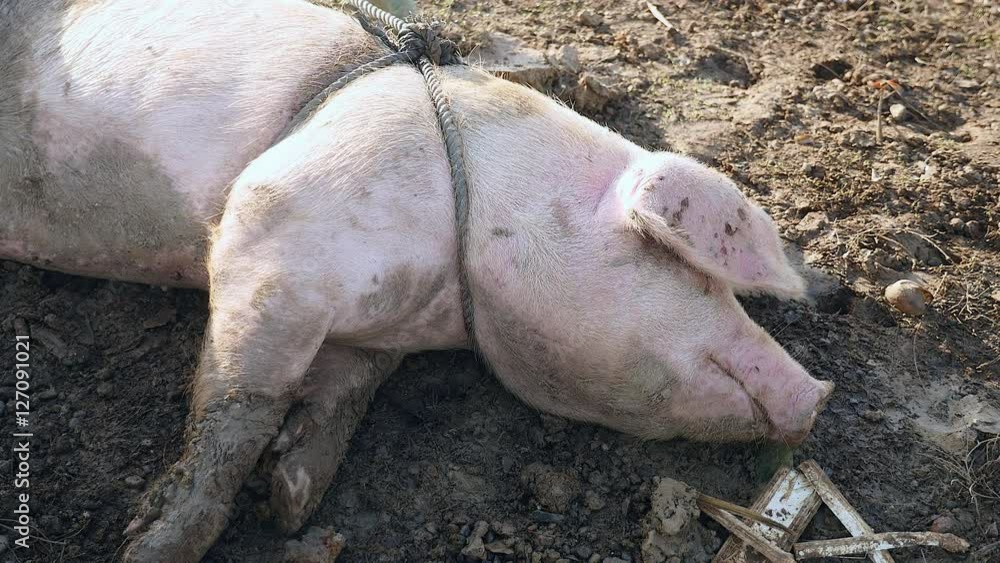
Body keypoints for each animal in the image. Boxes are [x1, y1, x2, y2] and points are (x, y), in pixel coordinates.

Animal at [0, 1, 833, 561]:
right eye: (700, 278)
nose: (817, 394)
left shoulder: (369, 334)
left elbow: (344, 396)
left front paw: (291, 501)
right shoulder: (267, 231)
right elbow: (240, 403)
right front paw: (156, 543)